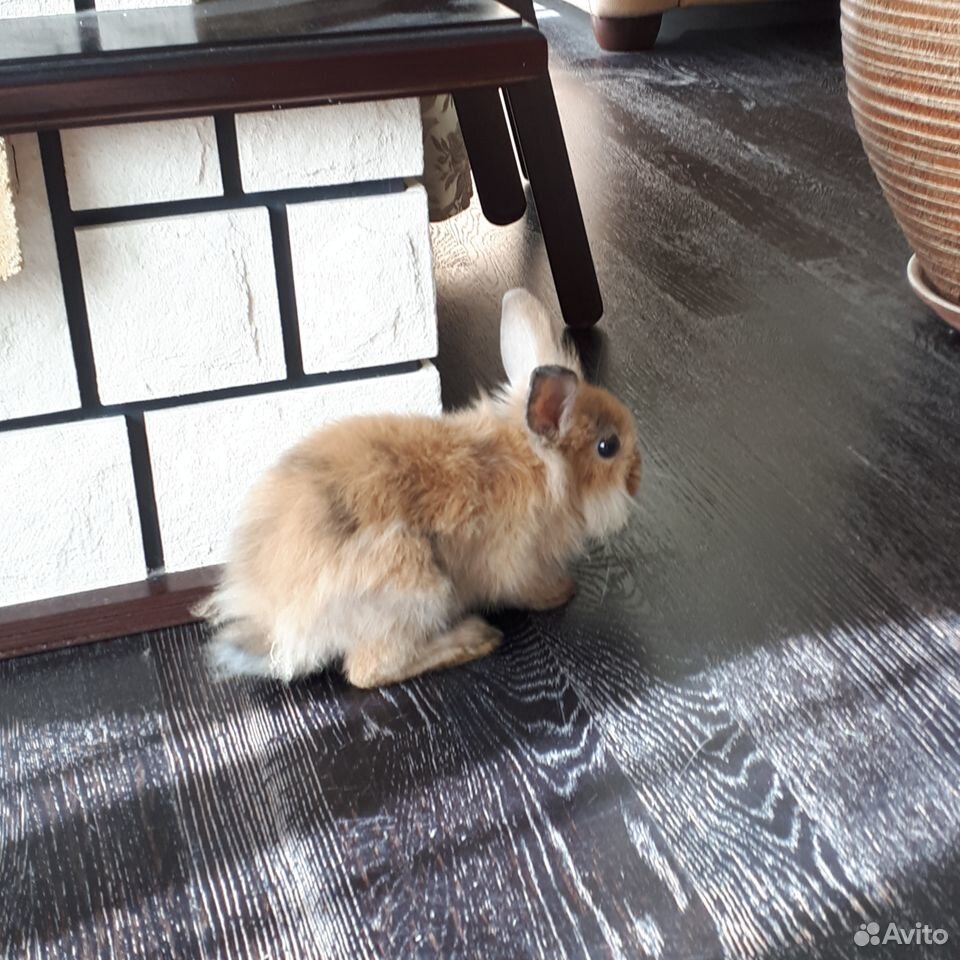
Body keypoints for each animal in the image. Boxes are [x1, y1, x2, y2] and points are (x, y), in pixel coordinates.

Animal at [197, 288, 641, 688]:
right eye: (608, 447)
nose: (637, 478)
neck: (536, 464)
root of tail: (277, 622)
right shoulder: (517, 562)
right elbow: (527, 589)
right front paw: (562, 592)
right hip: (413, 585)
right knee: (367, 672)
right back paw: (475, 638)